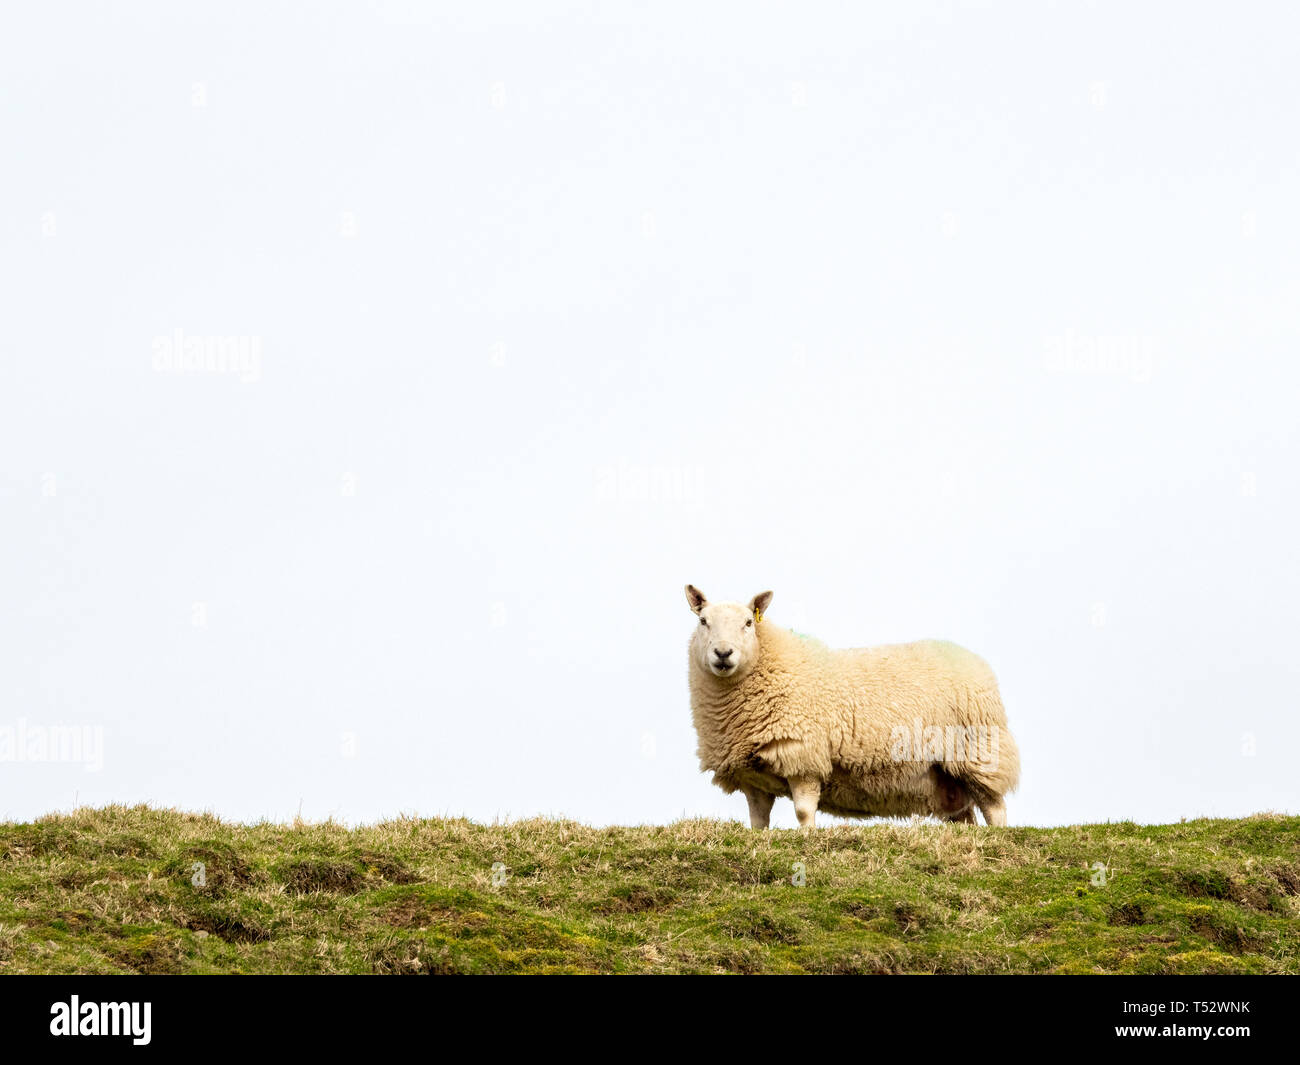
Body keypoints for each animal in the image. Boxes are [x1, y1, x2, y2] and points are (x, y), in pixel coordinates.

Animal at [685, 585, 1020, 828]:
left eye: (748, 623)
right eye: (703, 621)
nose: (723, 653)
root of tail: (976, 660)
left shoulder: (805, 756)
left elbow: (804, 811)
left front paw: (807, 838)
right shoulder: (752, 775)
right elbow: (757, 820)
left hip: (979, 752)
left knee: (994, 807)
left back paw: (997, 837)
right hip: (948, 779)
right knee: (965, 817)